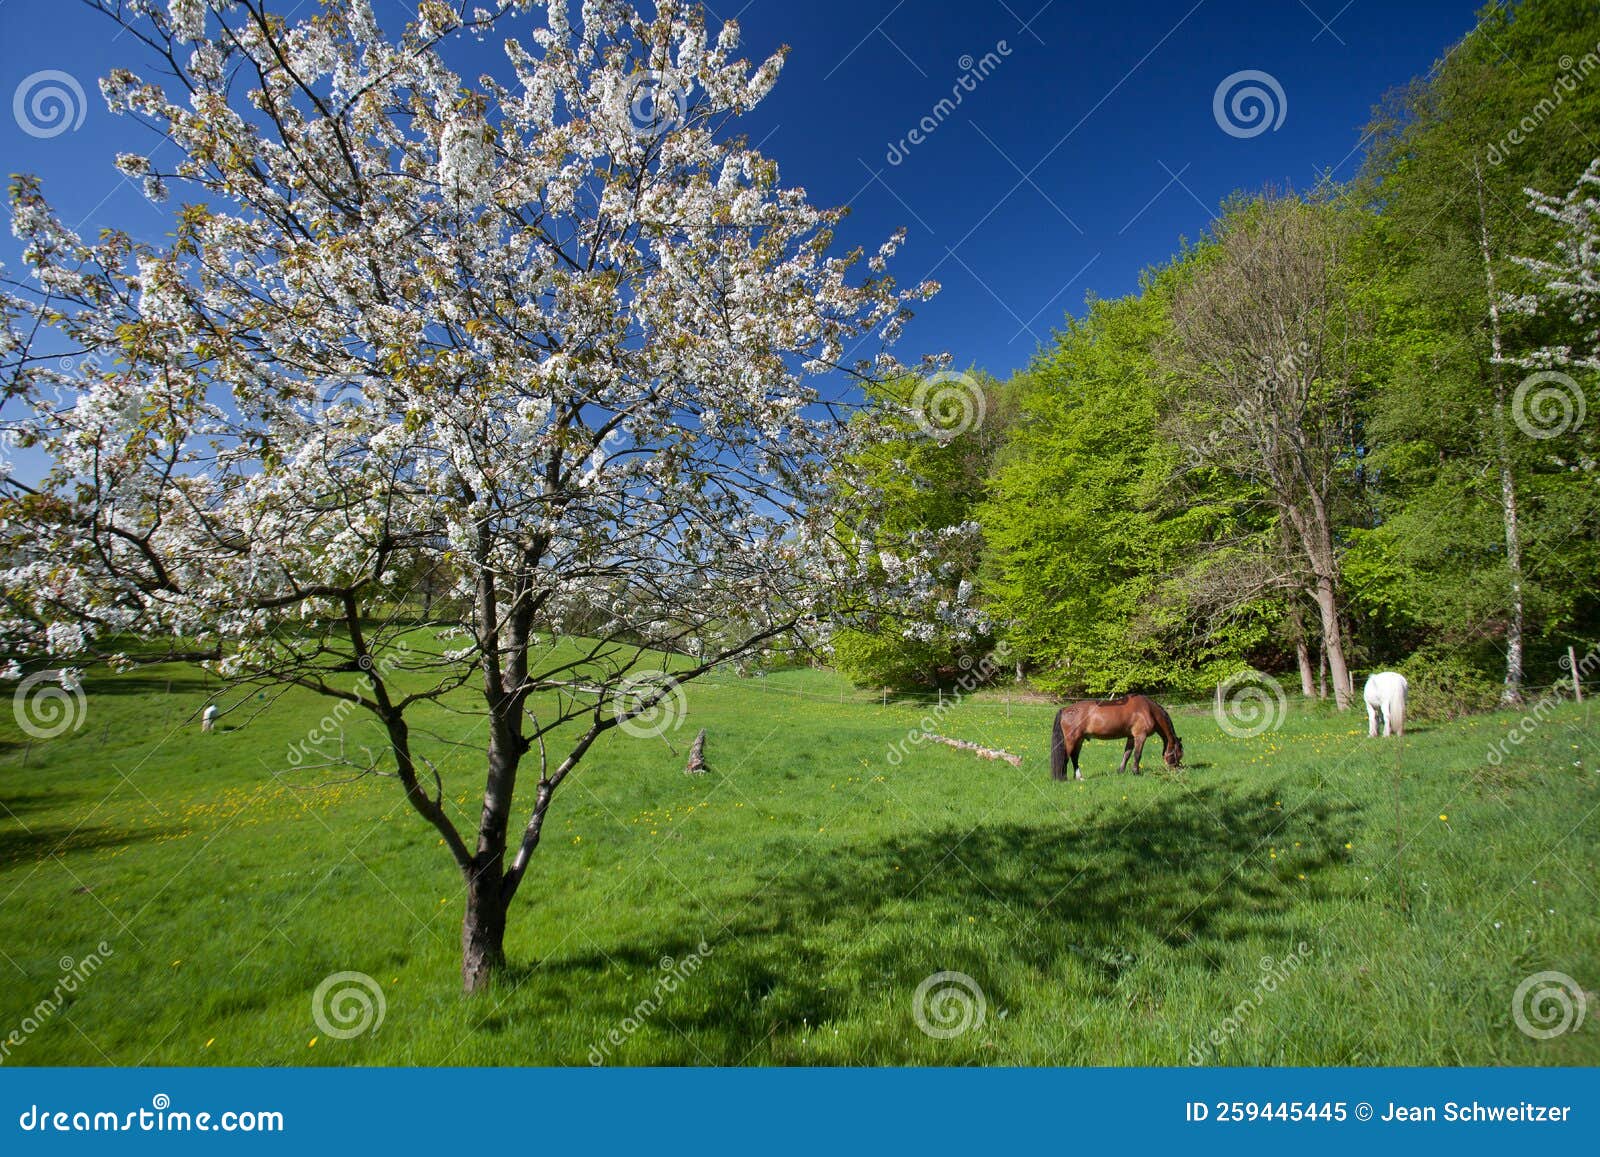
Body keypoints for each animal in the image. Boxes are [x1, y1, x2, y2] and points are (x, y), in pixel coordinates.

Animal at [1050, 694, 1183, 781]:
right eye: (1178, 754)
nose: (1178, 770)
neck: (1148, 709)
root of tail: (1065, 709)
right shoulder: (1140, 736)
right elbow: (1137, 755)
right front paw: (1136, 772)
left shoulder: (1131, 737)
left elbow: (1127, 754)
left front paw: (1121, 771)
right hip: (1071, 739)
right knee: (1066, 757)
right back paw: (1063, 778)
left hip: (1079, 740)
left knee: (1074, 757)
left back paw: (1079, 777)